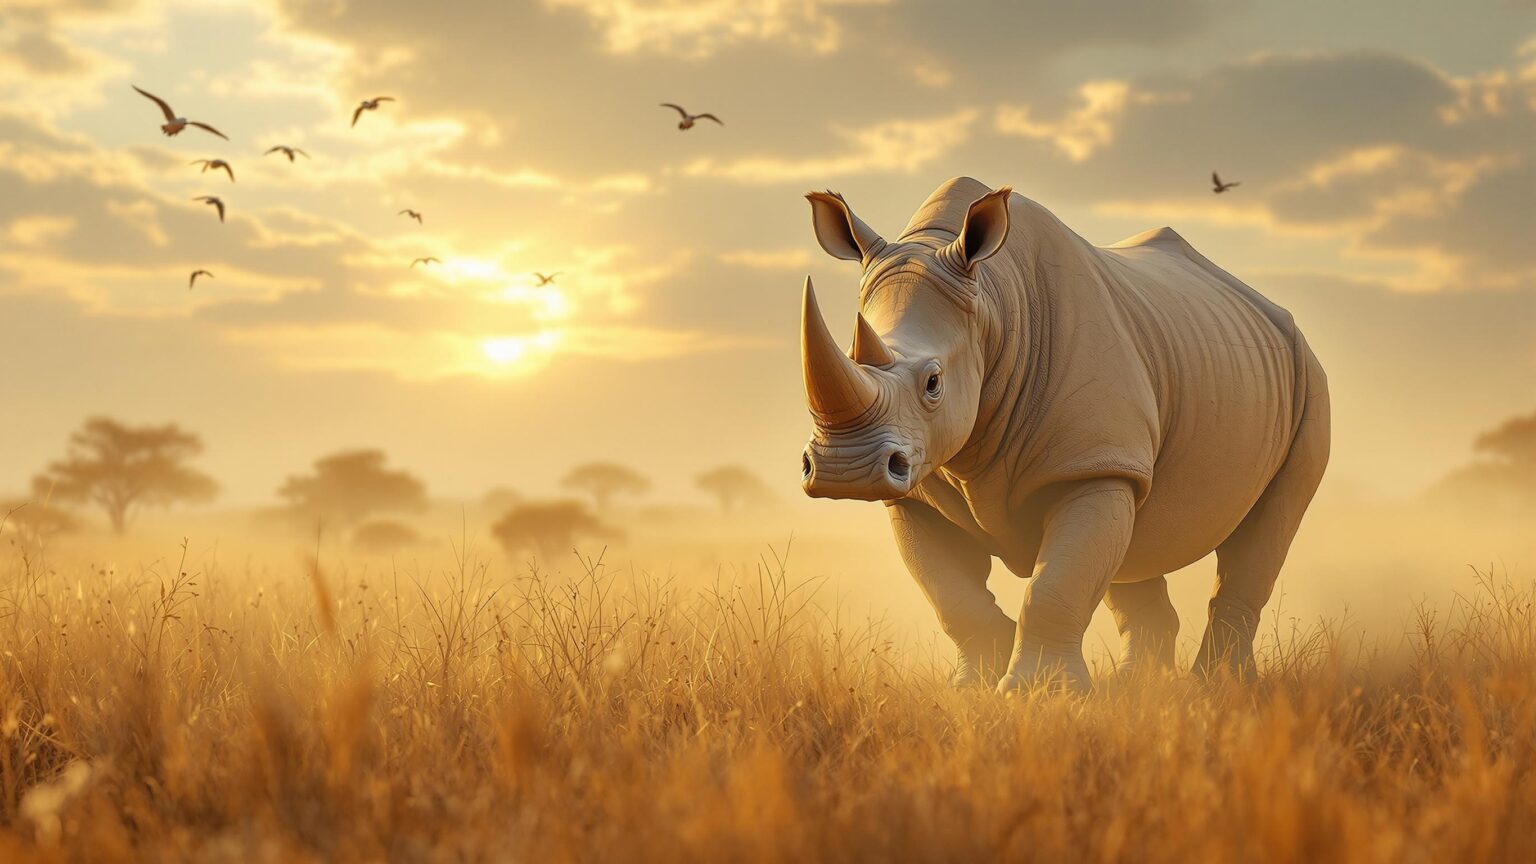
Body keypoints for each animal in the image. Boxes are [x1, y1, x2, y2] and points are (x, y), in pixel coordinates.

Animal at [797, 177, 1330, 692]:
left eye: (933, 382)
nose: (844, 470)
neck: (994, 303)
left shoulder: (1090, 461)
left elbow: (1054, 585)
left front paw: (1042, 695)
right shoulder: (919, 490)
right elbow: (952, 595)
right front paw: (973, 687)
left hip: (1307, 378)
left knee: (1263, 531)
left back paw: (1217, 686)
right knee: (1135, 537)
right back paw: (1138, 685)